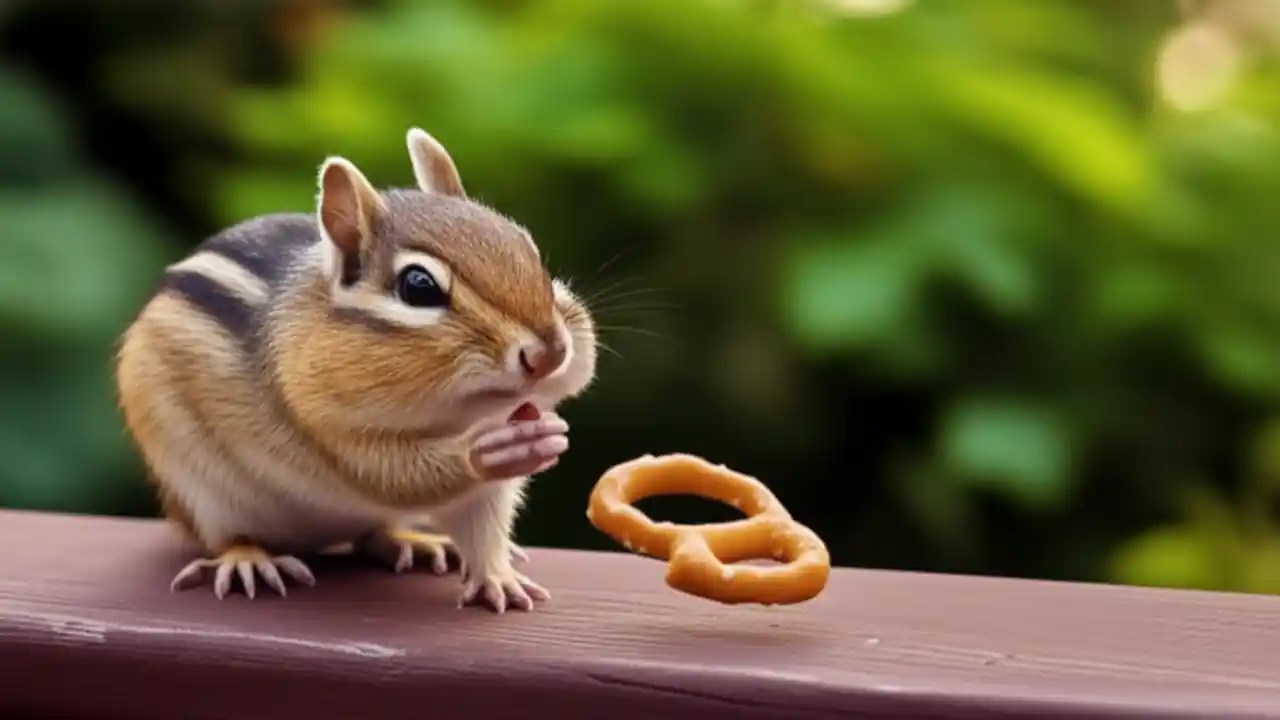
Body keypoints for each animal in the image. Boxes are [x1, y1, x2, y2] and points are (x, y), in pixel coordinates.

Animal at [114, 127, 597, 612]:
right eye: (418, 286)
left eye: (528, 248)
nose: (552, 353)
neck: (456, 415)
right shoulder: (323, 423)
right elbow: (392, 475)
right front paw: (490, 451)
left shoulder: (487, 494)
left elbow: (483, 527)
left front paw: (499, 577)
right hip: (201, 497)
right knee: (229, 536)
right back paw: (247, 560)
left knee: (373, 535)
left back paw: (413, 541)